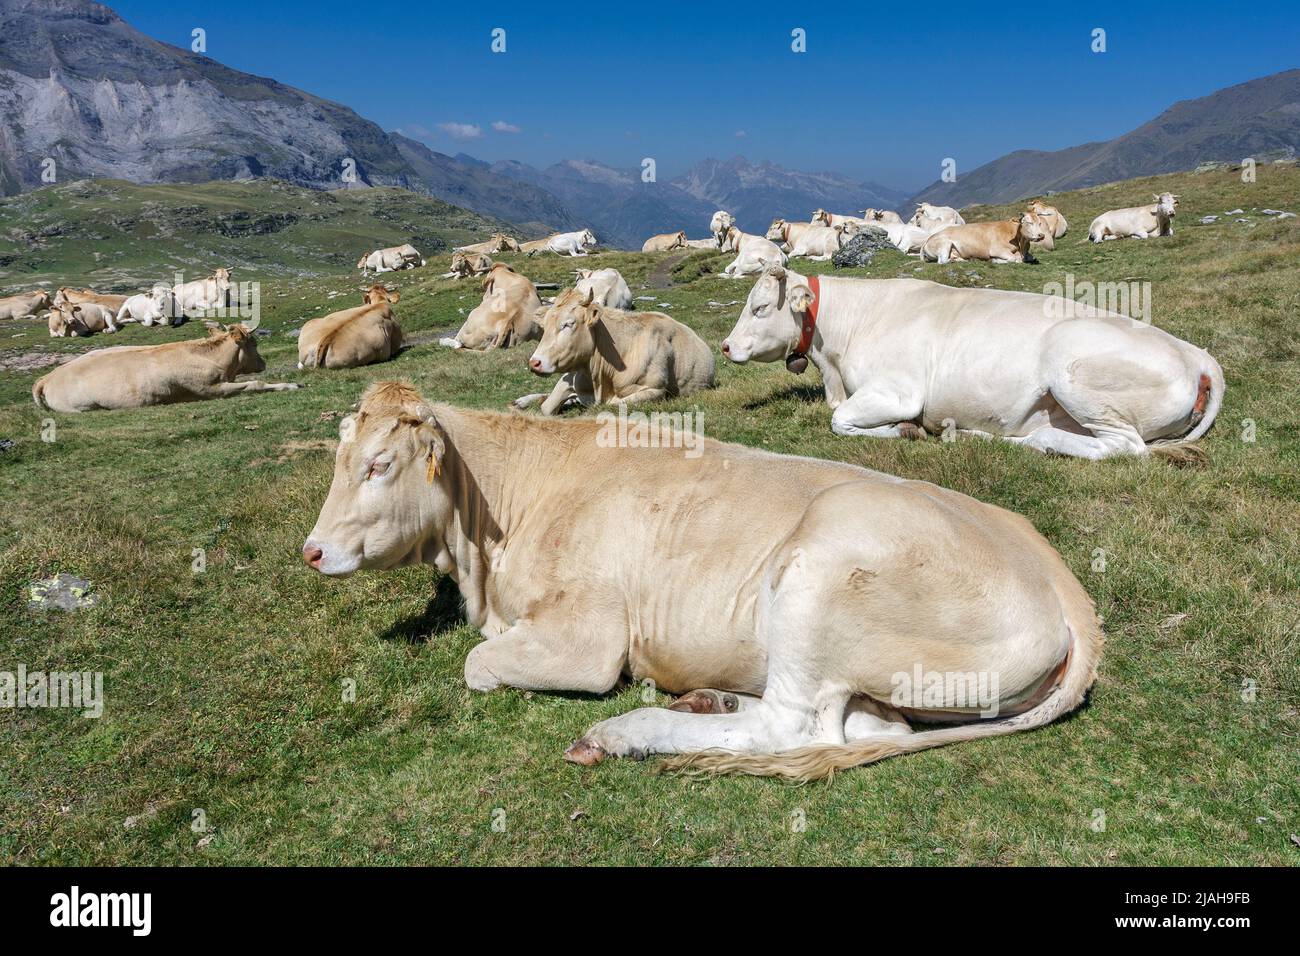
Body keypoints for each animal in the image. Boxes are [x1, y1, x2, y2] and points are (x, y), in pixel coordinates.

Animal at [32, 324, 298, 412]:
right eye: (254, 343)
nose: (263, 363)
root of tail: (48, 377)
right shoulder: (209, 389)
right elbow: (255, 383)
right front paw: (291, 384)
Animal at [301, 380, 1104, 779]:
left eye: (378, 463)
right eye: (338, 459)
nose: (311, 551)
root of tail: (1057, 575)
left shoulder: (587, 640)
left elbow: (476, 665)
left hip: (821, 568)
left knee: (792, 727)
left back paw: (625, 733)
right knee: (862, 724)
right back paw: (705, 700)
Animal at [511, 286, 715, 415]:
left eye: (568, 324)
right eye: (544, 326)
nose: (534, 362)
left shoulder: (656, 389)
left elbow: (612, 404)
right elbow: (547, 407)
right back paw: (521, 401)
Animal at [720, 264, 1224, 462]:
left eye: (759, 308)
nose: (725, 347)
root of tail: (1197, 354)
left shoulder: (899, 391)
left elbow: (840, 421)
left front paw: (905, 431)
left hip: (1078, 376)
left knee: (1123, 446)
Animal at [921, 213, 1050, 264]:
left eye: (1039, 223)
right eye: (1028, 222)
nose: (1041, 235)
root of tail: (927, 240)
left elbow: (1031, 257)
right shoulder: (997, 249)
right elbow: (1015, 258)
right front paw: (996, 260)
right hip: (944, 244)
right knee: (941, 261)